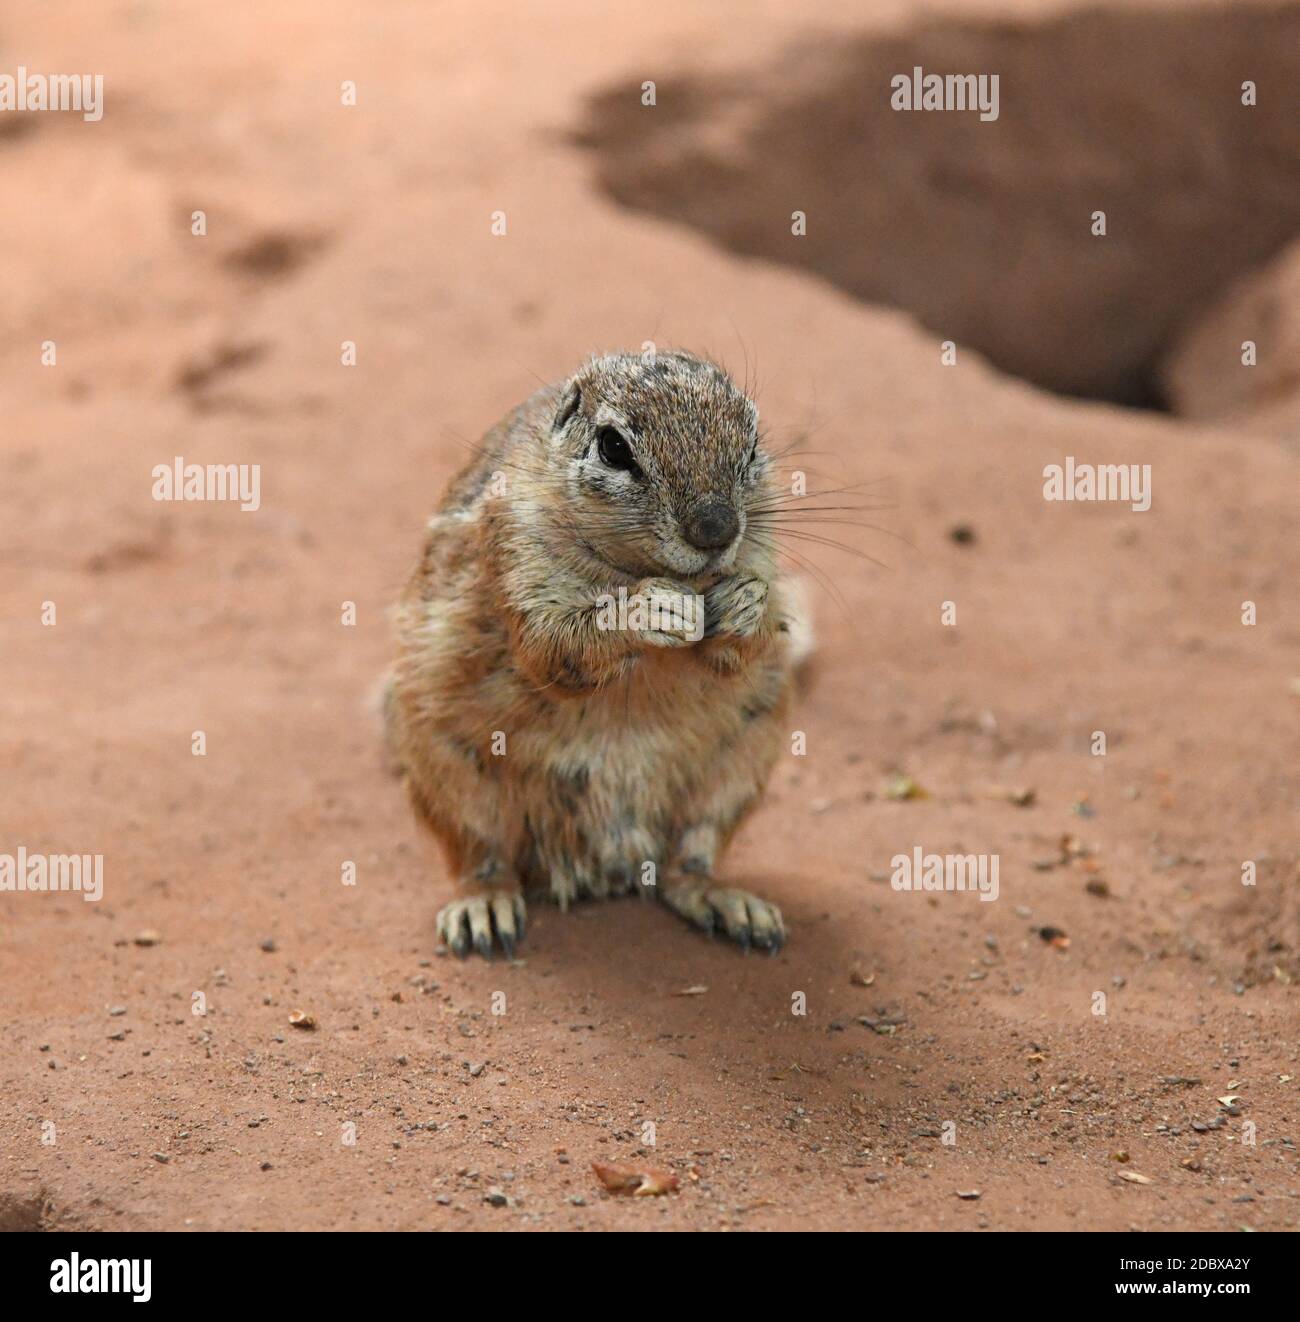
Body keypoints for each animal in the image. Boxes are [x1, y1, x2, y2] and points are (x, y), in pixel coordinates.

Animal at [385, 350, 810, 958]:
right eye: (613, 447)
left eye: (752, 441)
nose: (716, 529)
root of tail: (606, 866)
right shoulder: (516, 554)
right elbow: (554, 646)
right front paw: (651, 610)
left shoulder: (760, 547)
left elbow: (745, 644)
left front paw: (745, 604)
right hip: (451, 779)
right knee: (484, 858)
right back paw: (482, 909)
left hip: (735, 771)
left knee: (686, 864)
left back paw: (728, 903)